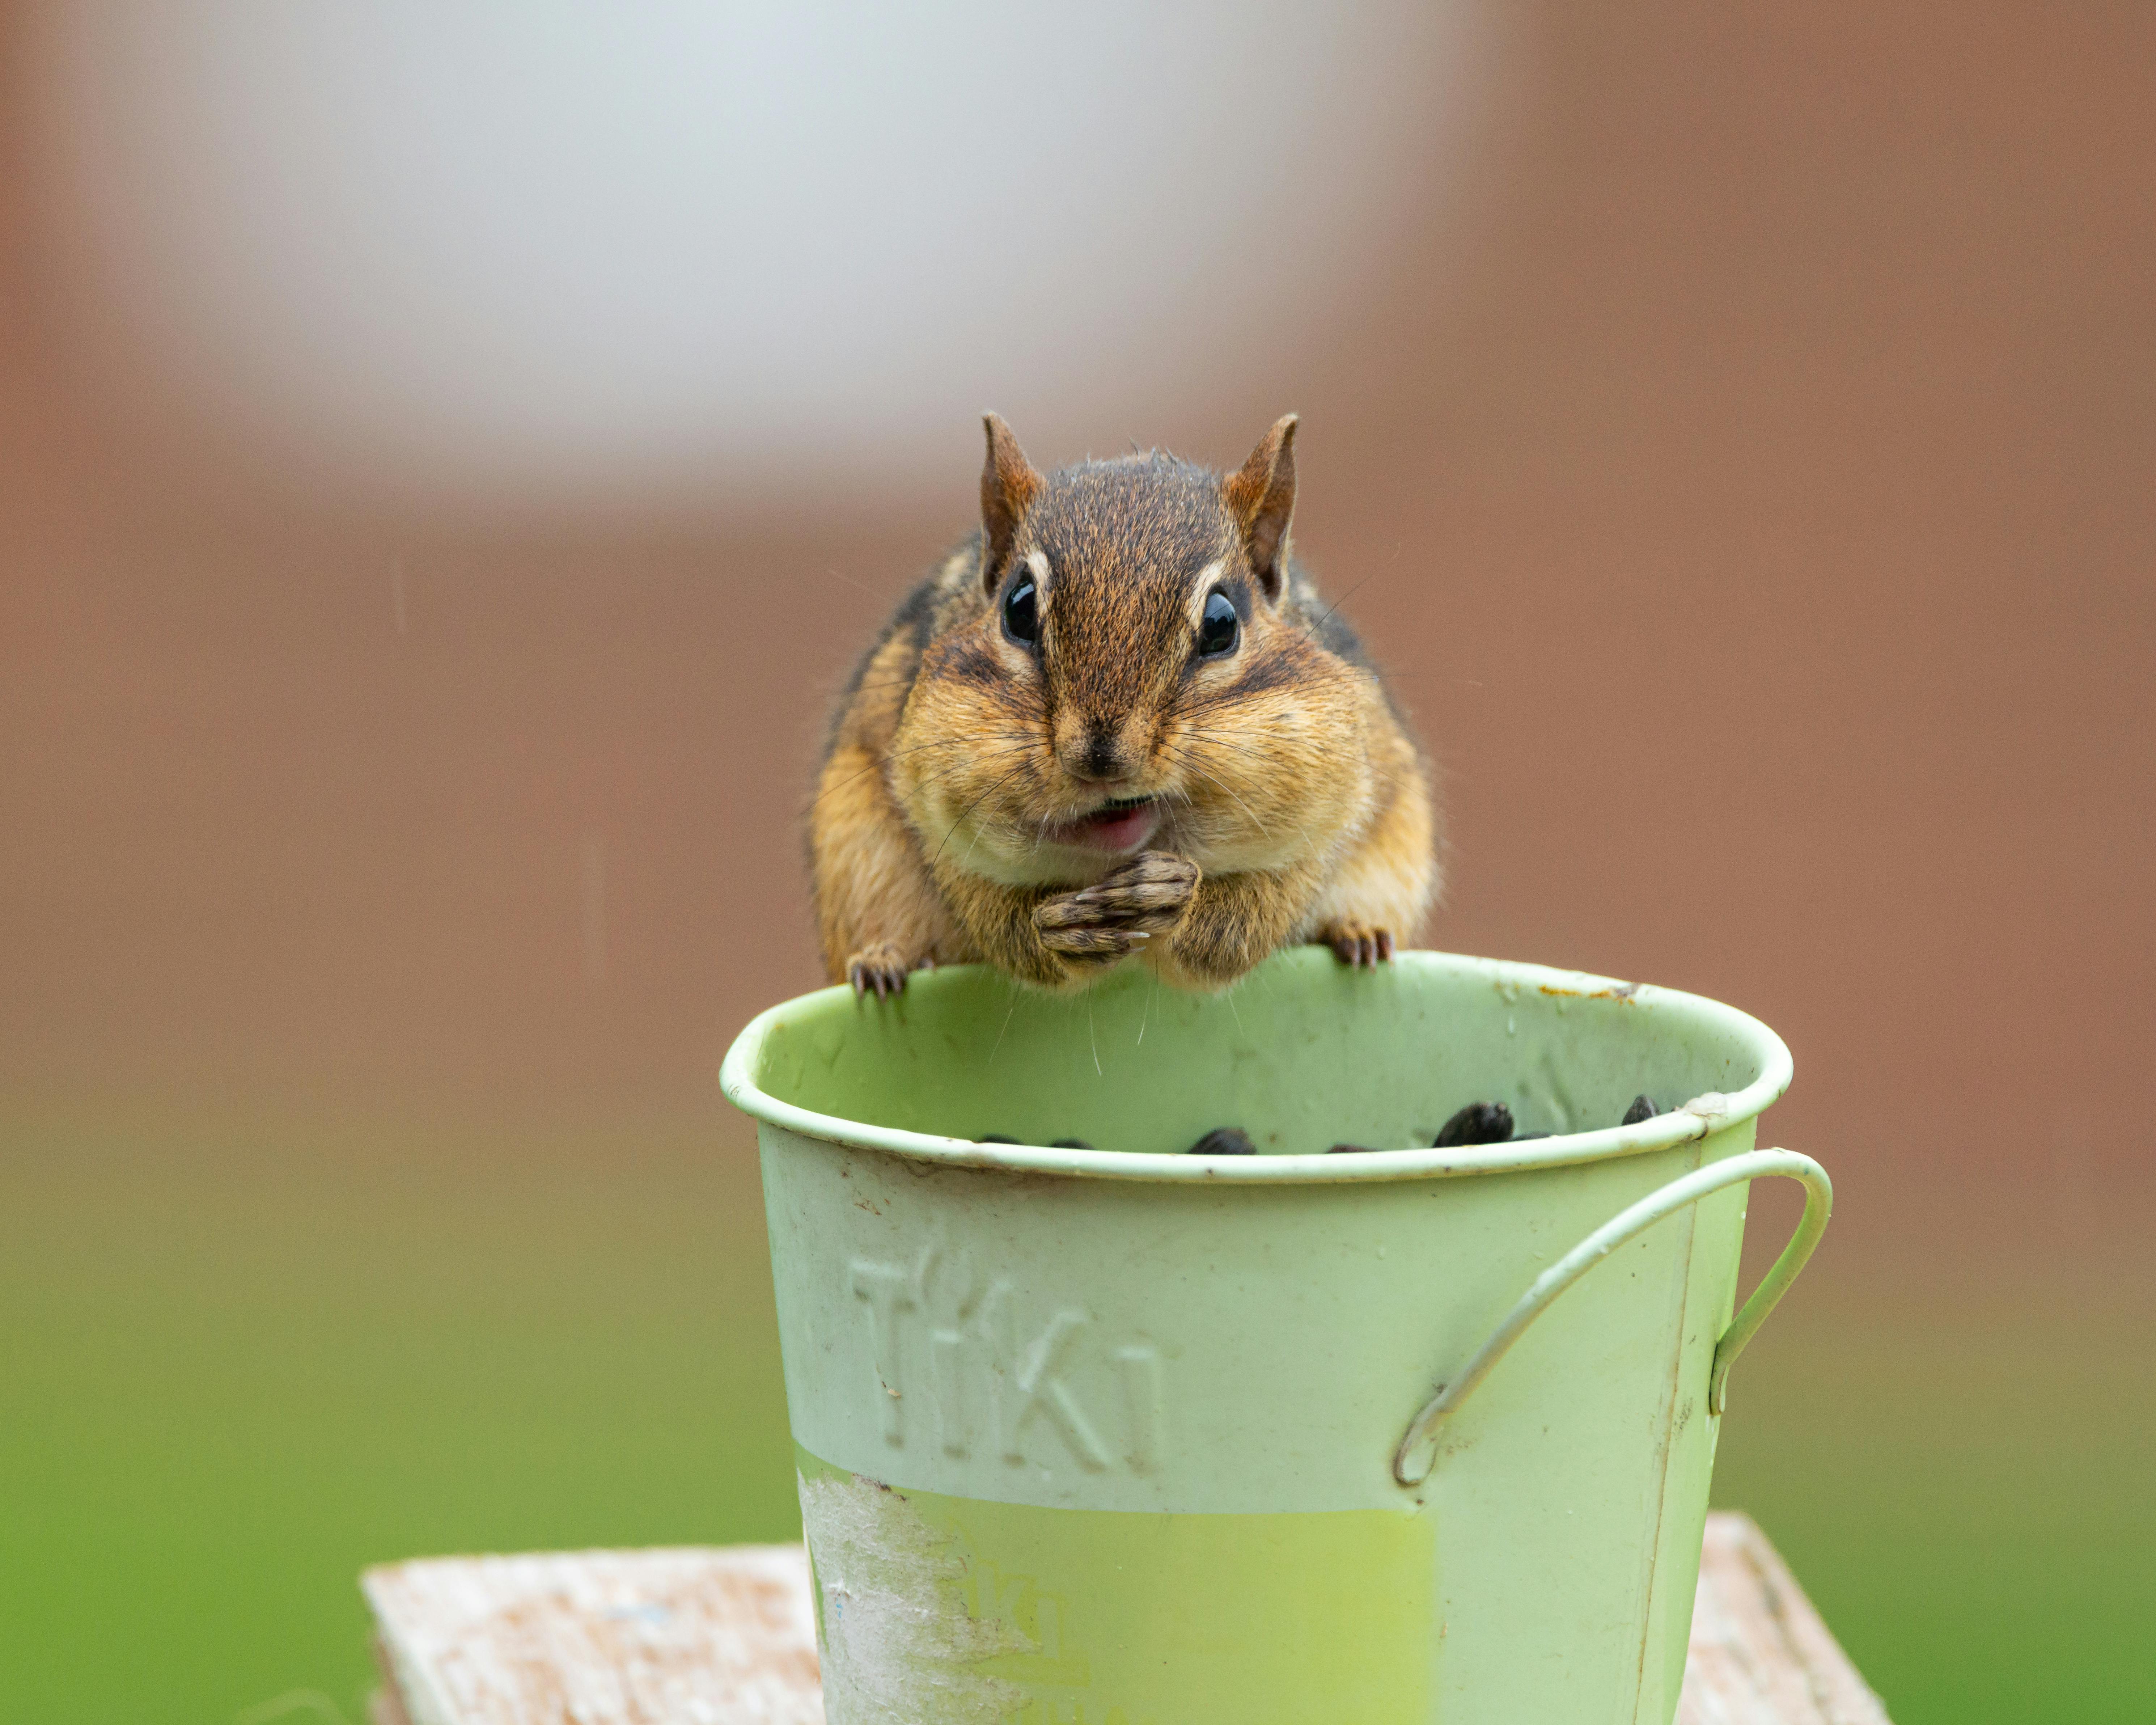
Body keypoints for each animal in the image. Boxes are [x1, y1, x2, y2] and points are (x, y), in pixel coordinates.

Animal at [809, 414, 1439, 997]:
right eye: (1017, 608)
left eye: (1222, 624)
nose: (1101, 756)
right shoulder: (933, 818)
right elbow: (997, 918)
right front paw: (1057, 924)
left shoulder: (1328, 822)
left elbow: (1241, 924)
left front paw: (1172, 898)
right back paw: (883, 964)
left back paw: (1359, 935)